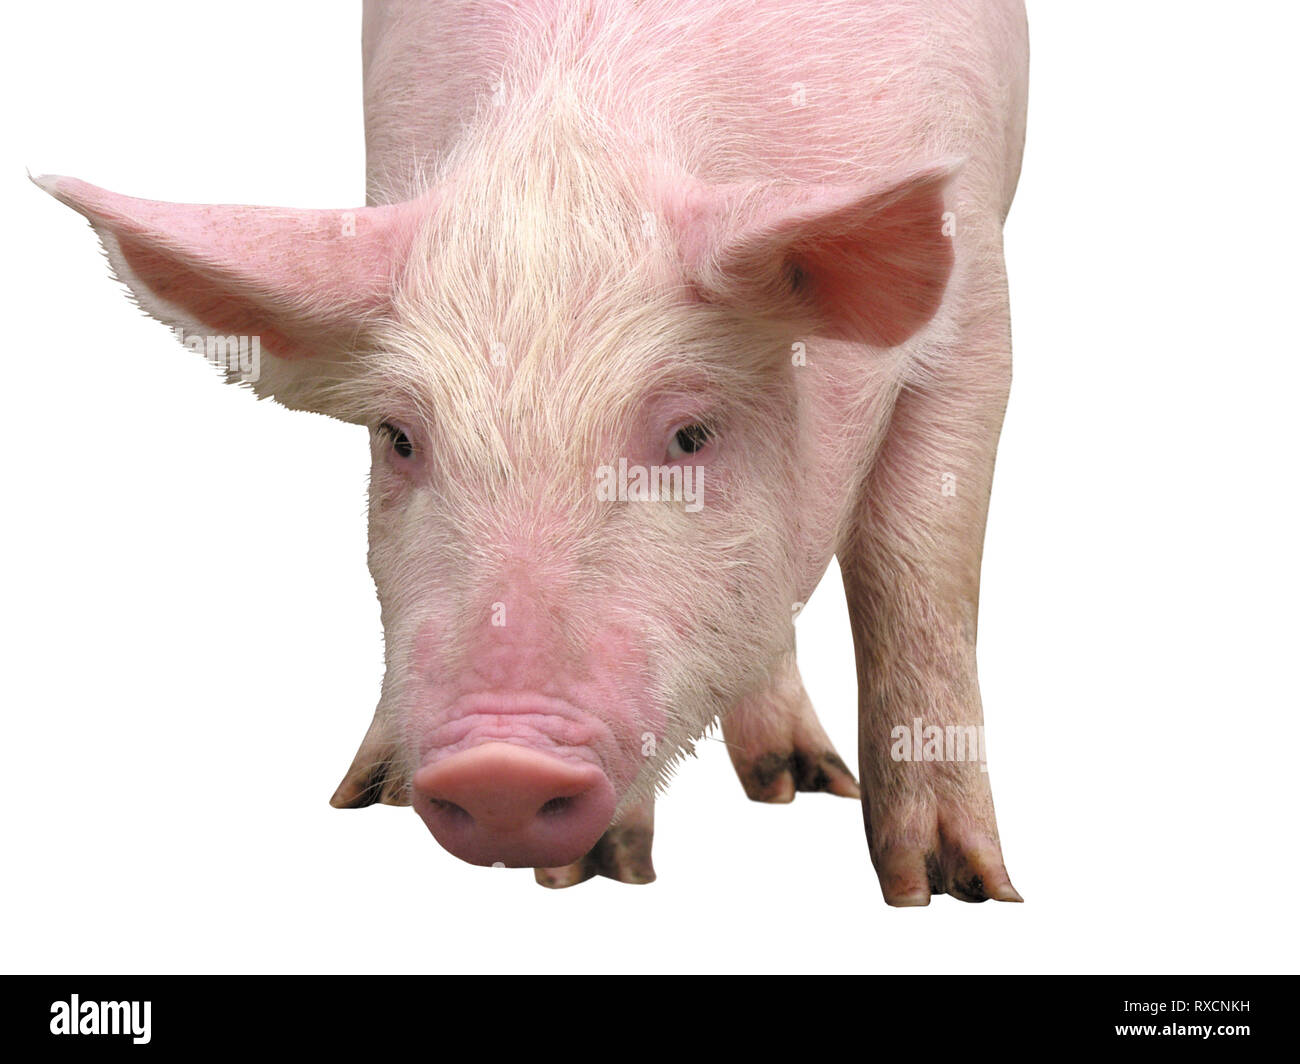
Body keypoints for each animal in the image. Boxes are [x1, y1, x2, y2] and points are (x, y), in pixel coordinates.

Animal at [37, 0, 1028, 905]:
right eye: (399, 438)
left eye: (690, 434)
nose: (498, 770)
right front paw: (591, 876)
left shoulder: (979, 310)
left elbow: (916, 567)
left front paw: (955, 892)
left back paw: (801, 786)